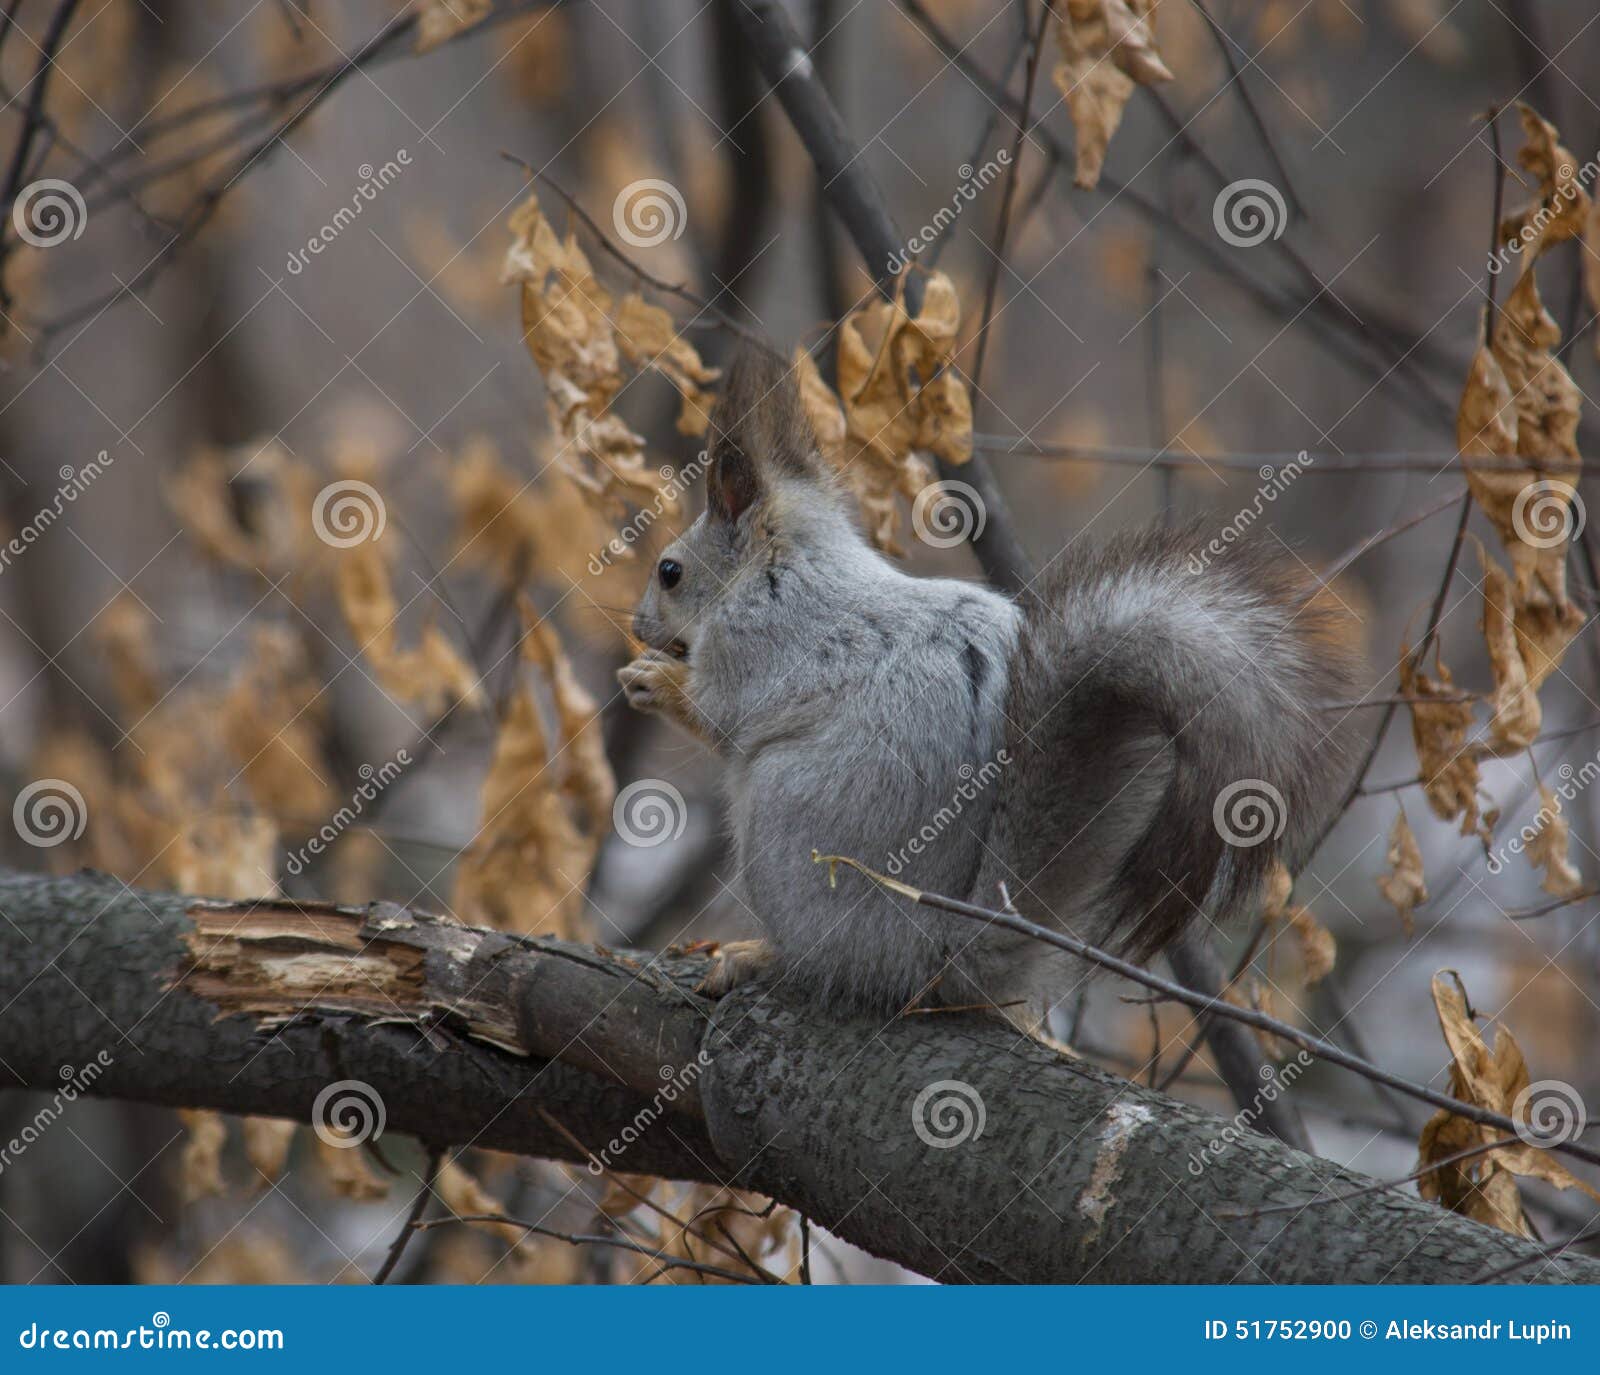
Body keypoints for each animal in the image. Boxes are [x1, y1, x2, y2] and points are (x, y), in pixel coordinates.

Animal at [620, 344, 1357, 1027]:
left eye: (669, 571)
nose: (636, 625)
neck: (785, 565)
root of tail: (933, 955)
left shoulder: (752, 644)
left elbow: (719, 716)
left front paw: (655, 681)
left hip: (782, 825)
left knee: (822, 962)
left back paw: (762, 955)